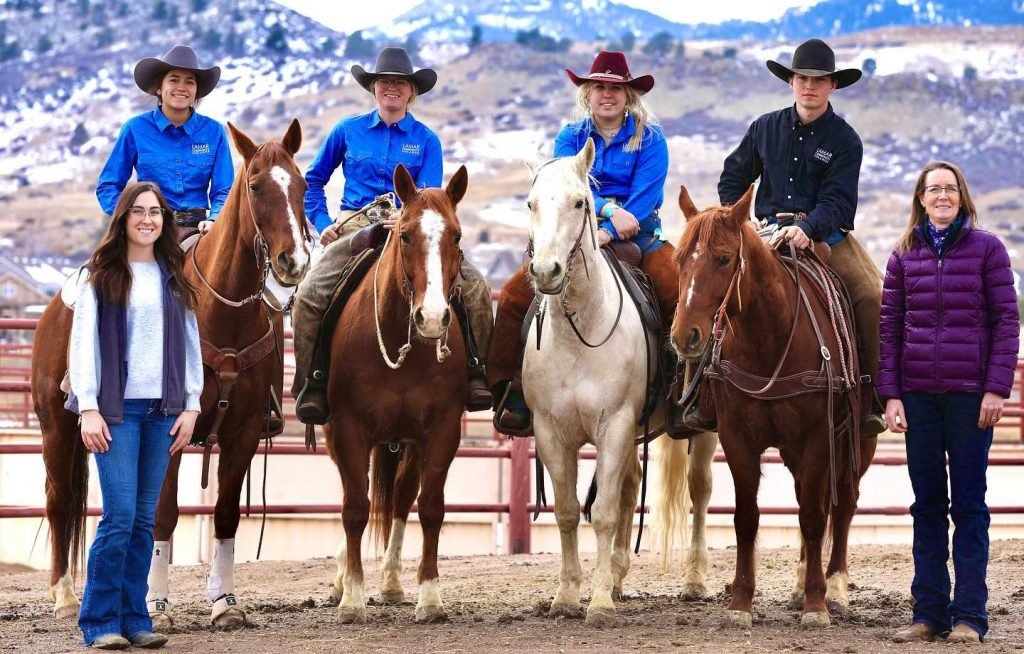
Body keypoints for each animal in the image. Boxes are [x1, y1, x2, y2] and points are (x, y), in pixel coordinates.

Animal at [32, 120, 312, 627]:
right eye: (256, 185)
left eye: (302, 185)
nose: (293, 261)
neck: (220, 312)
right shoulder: (166, 429)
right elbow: (161, 514)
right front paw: (156, 605)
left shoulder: (243, 431)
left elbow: (225, 514)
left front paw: (225, 603)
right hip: (56, 426)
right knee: (59, 498)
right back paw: (64, 596)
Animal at [324, 163, 470, 624]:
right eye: (404, 235)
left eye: (456, 236)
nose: (433, 317)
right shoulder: (349, 429)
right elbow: (355, 508)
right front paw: (352, 598)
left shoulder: (441, 431)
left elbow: (430, 508)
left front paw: (430, 597)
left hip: (406, 441)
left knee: (401, 499)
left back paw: (390, 582)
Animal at [670, 185, 877, 628]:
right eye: (679, 258)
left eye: (724, 258)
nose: (684, 336)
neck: (769, 339)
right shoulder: (737, 438)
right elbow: (747, 518)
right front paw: (739, 603)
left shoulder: (817, 436)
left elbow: (814, 516)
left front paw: (816, 605)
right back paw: (801, 584)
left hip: (855, 440)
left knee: (843, 504)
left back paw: (834, 586)